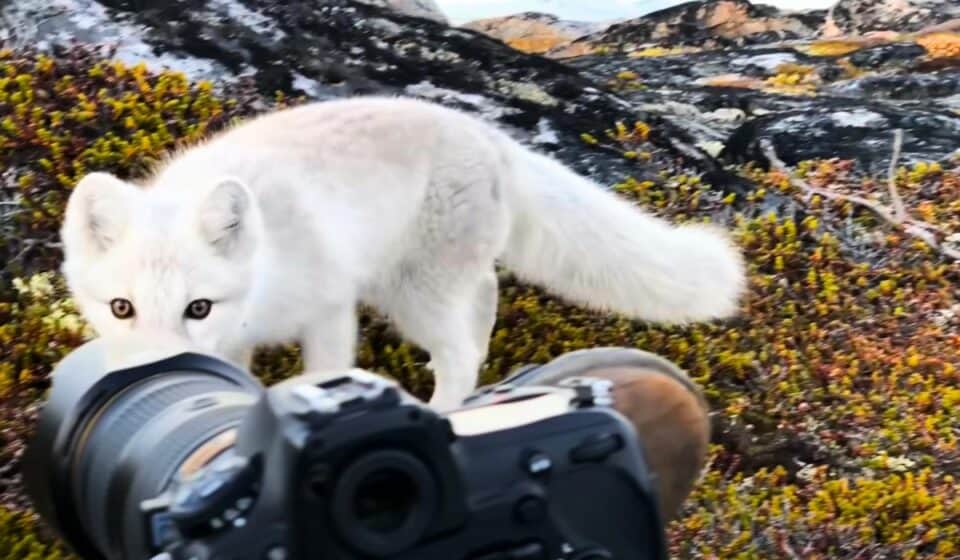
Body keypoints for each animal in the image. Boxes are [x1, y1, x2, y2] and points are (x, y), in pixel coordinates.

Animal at [60, 96, 747, 410]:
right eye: (120, 308)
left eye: (197, 307)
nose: (151, 372)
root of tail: (491, 136)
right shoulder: (236, 342)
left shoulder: (330, 307)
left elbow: (324, 368)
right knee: (483, 306)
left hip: (410, 295)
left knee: (461, 355)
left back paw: (445, 412)